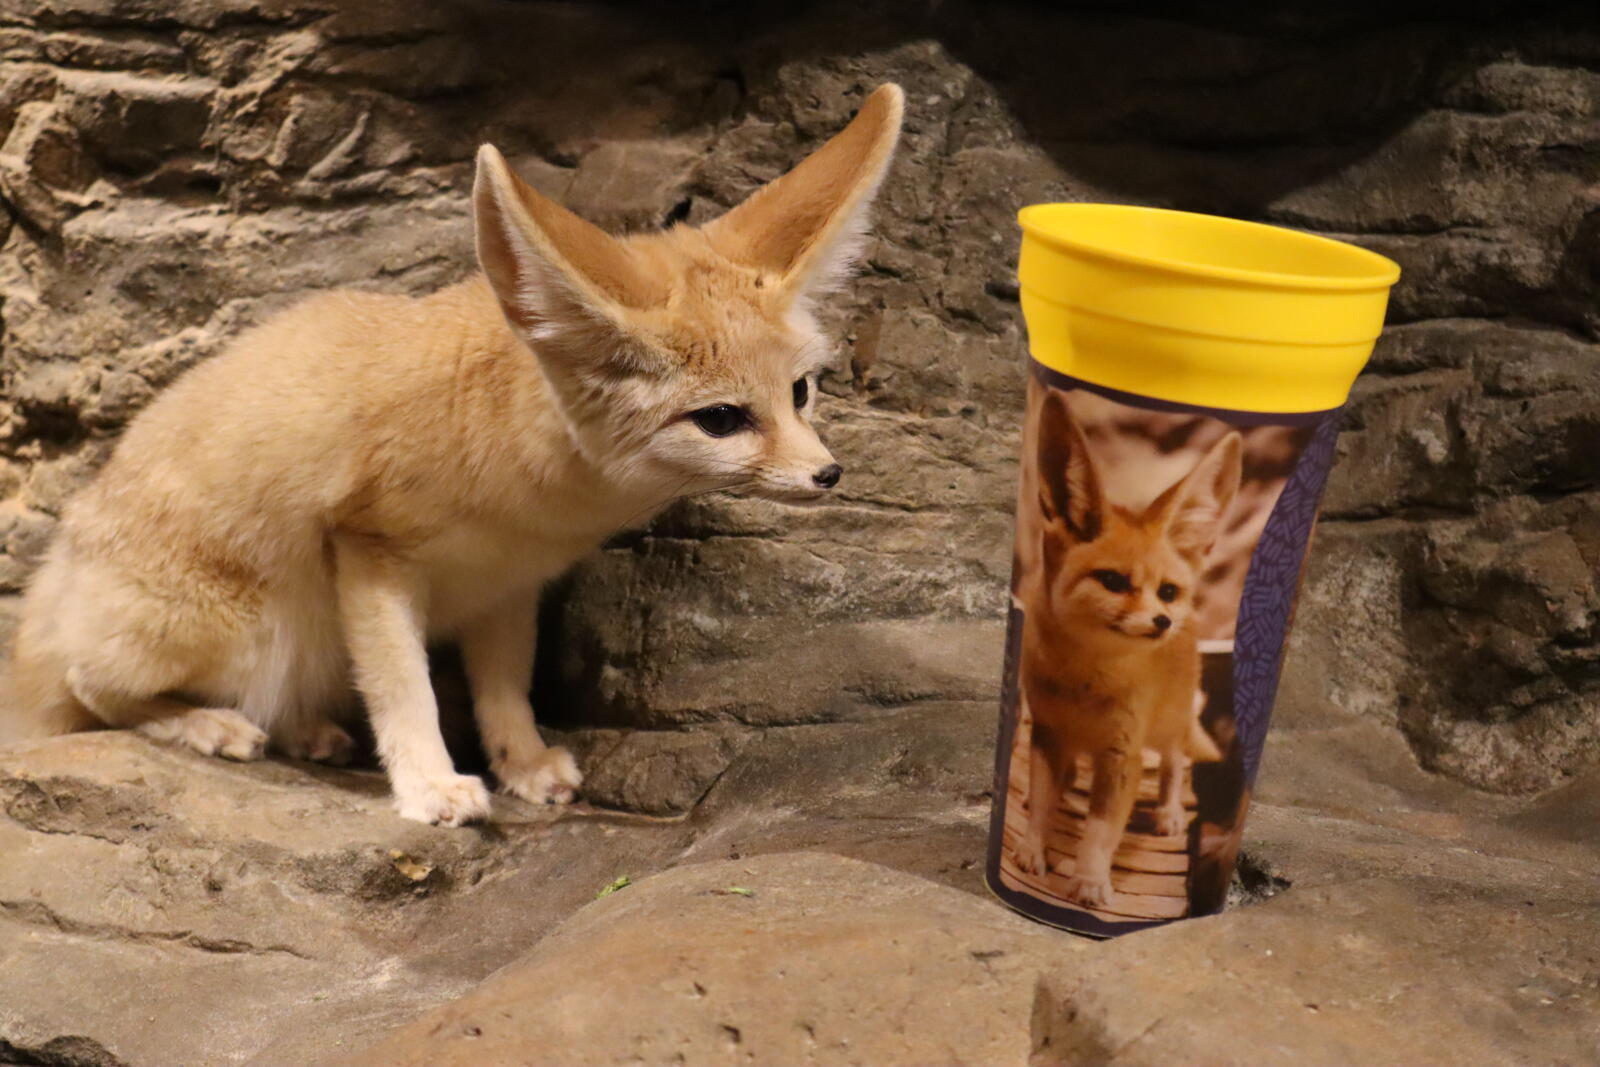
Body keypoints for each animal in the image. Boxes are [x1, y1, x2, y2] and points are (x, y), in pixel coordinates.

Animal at [0, 85, 905, 826]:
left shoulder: (507, 583)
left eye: (801, 392)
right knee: (88, 689)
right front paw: (431, 786)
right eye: (721, 418)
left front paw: (522, 763)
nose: (828, 474)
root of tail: (61, 566)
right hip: (236, 628)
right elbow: (404, 688)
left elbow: (504, 685)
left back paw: (304, 728)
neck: (526, 491)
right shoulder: (369, 553)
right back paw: (210, 723)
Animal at [1014, 389, 1238, 908]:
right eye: (1114, 582)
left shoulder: (1123, 757)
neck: (1083, 680)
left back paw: (1169, 811)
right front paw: (1033, 847)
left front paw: (1090, 879)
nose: (1162, 621)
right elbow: (1043, 801)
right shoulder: (1048, 734)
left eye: (1166, 591)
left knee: (1176, 760)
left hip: (1169, 721)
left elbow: (1100, 831)